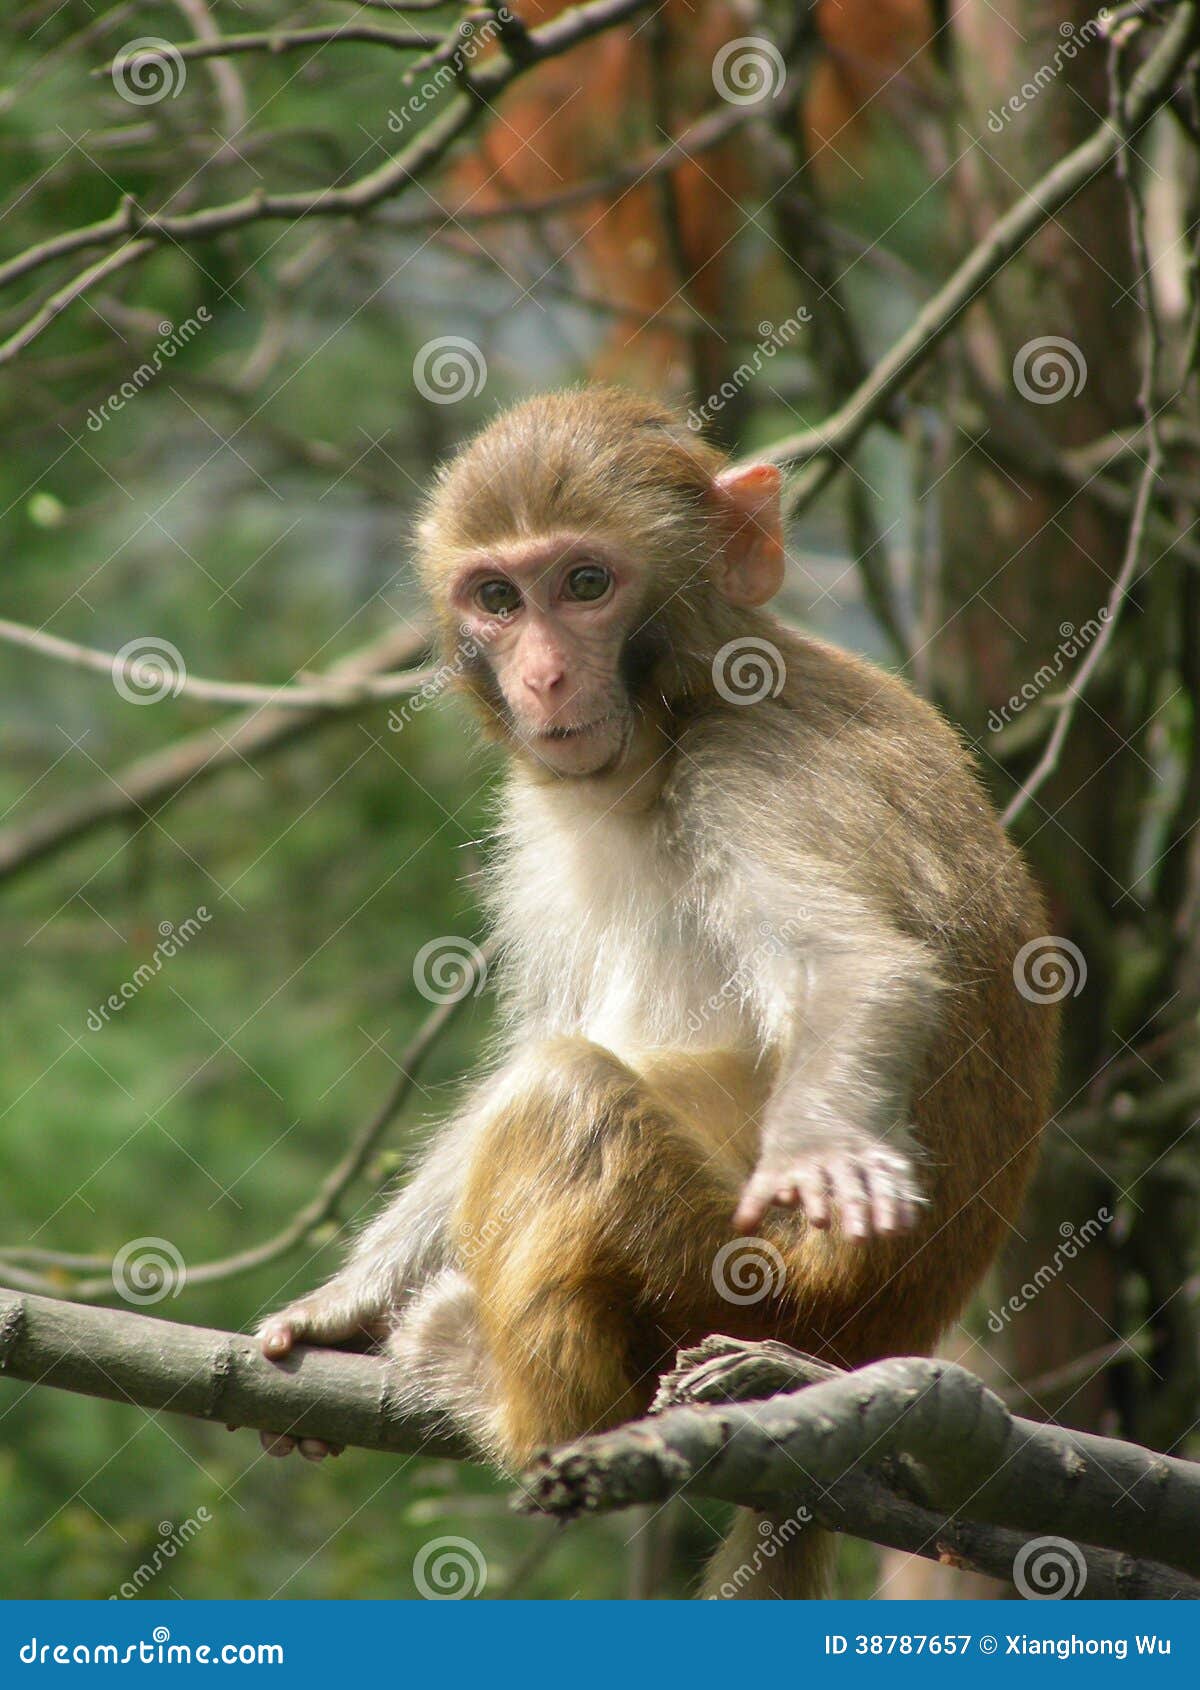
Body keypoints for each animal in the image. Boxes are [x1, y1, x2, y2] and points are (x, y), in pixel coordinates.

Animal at [256, 386, 1058, 1598]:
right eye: (498, 597)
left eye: (587, 583)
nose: (543, 676)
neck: (674, 719)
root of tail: (881, 1346)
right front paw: (344, 1303)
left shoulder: (755, 767)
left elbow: (855, 967)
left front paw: (823, 1145)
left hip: (746, 1286)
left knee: (567, 1104)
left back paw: (538, 1409)